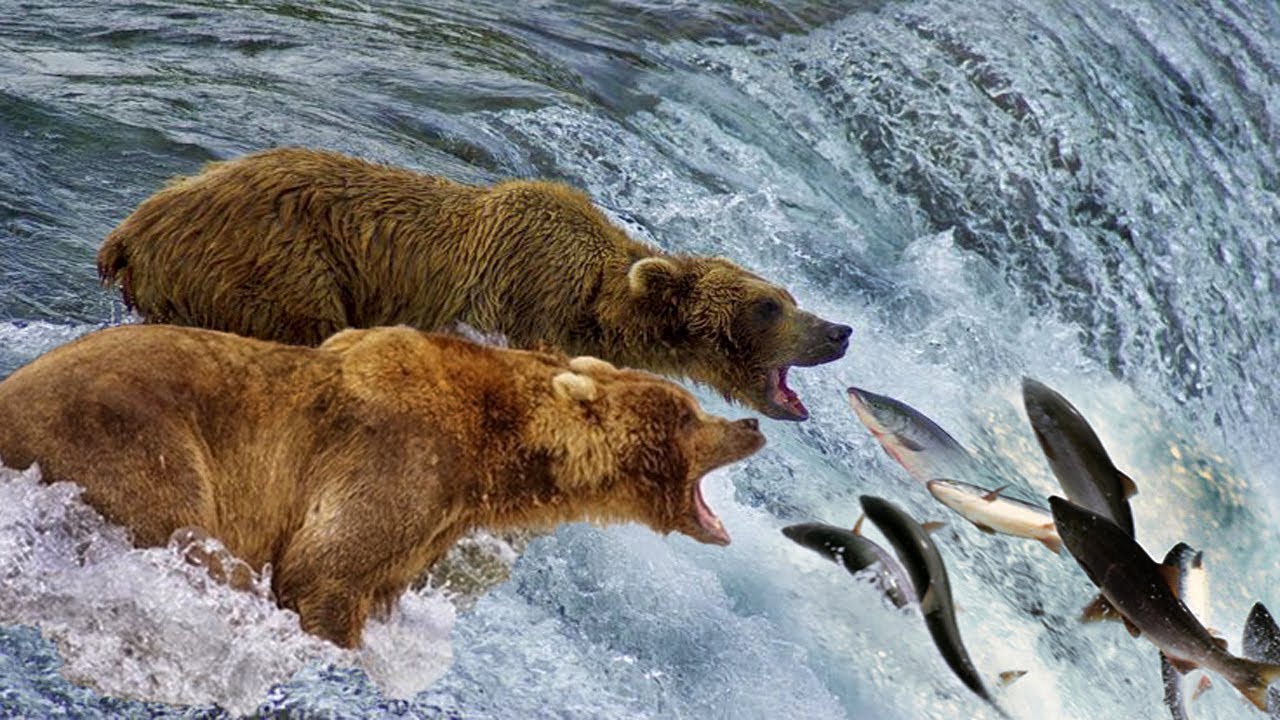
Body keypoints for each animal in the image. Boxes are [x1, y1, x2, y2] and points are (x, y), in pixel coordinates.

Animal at [0, 324, 765, 648]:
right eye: (688, 414)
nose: (750, 423)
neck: (498, 453)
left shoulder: (431, 523)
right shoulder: (398, 459)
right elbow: (325, 568)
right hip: (132, 446)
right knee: (194, 545)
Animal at [96, 147, 851, 421]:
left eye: (787, 297)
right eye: (768, 305)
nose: (840, 331)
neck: (595, 301)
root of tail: (131, 228)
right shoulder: (522, 296)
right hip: (275, 263)